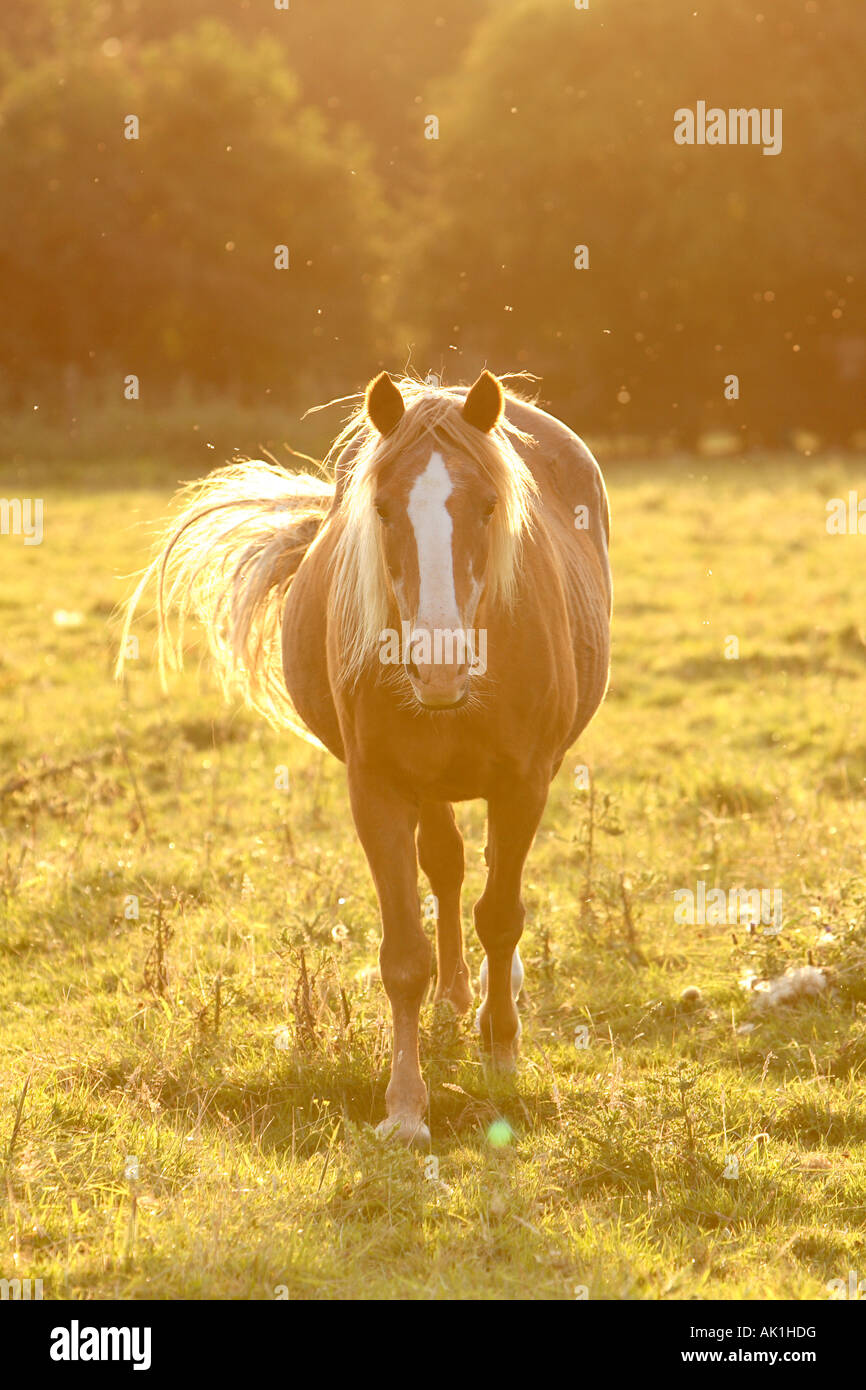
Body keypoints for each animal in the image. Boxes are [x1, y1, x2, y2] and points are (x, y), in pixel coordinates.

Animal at [117, 370, 612, 1145]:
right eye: (381, 508)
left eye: (489, 505)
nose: (439, 665)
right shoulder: (377, 790)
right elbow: (404, 957)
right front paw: (405, 1108)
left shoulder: (524, 783)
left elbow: (502, 917)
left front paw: (502, 1055)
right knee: (447, 866)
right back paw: (455, 995)